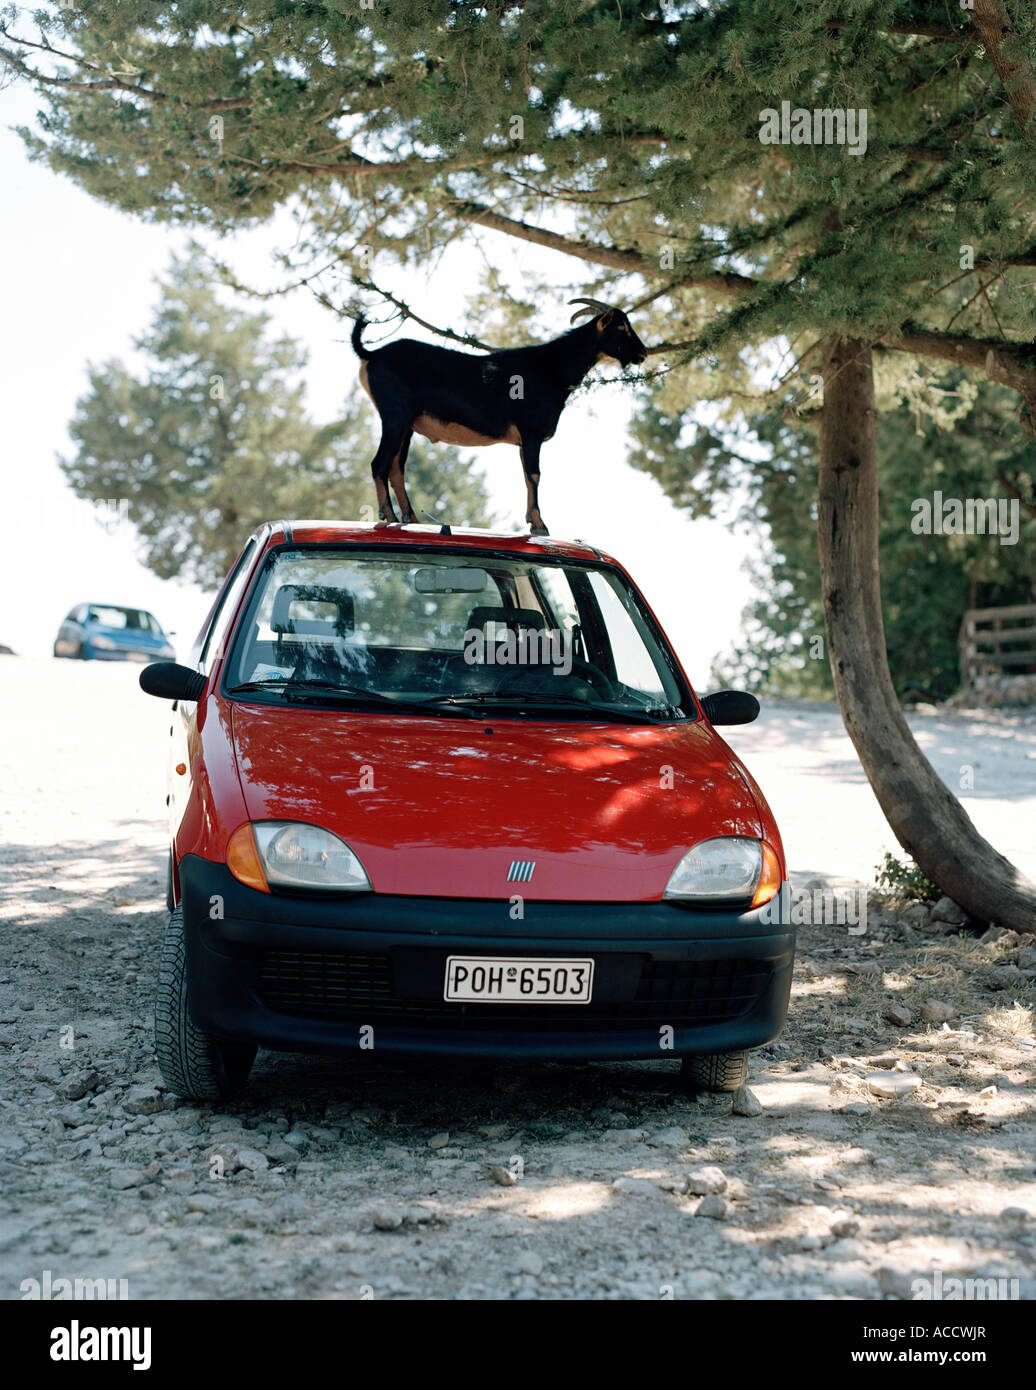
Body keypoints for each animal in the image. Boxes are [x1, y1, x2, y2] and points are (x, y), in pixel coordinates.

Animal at [352, 299, 647, 534]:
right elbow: (534, 474)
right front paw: (540, 525)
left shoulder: (524, 440)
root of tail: (371, 354)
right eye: (621, 328)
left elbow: (527, 475)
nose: (643, 353)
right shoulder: (531, 432)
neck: (552, 367)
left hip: (407, 425)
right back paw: (389, 517)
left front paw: (532, 520)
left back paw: (410, 519)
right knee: (379, 464)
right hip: (395, 415)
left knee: (396, 468)